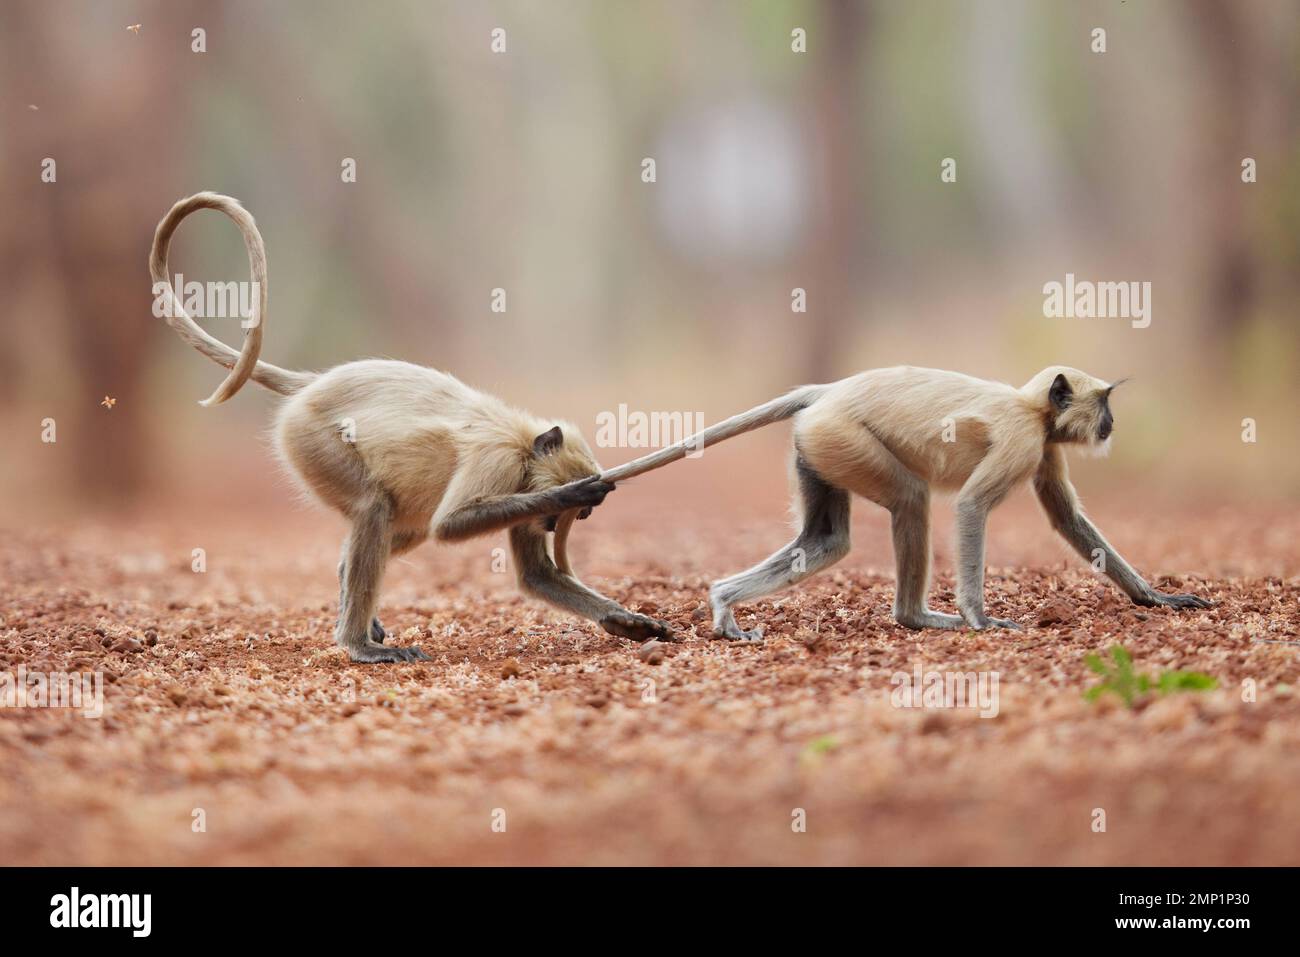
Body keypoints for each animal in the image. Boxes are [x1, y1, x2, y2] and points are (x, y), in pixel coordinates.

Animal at [150, 192, 672, 663]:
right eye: (572, 513)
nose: (560, 520)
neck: (524, 441)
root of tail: (313, 384)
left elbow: (536, 577)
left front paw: (627, 622)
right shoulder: (500, 459)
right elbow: (450, 524)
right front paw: (573, 492)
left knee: (403, 520)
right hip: (309, 440)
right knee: (375, 507)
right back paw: (357, 645)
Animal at [590, 366, 1212, 640]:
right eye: (1103, 404)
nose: (1112, 424)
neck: (1031, 406)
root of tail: (828, 391)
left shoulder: (1043, 443)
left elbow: (1067, 517)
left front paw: (1156, 598)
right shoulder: (1023, 437)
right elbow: (971, 508)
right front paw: (980, 617)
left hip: (817, 445)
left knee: (826, 539)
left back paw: (724, 600)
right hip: (841, 438)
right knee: (913, 500)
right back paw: (916, 617)